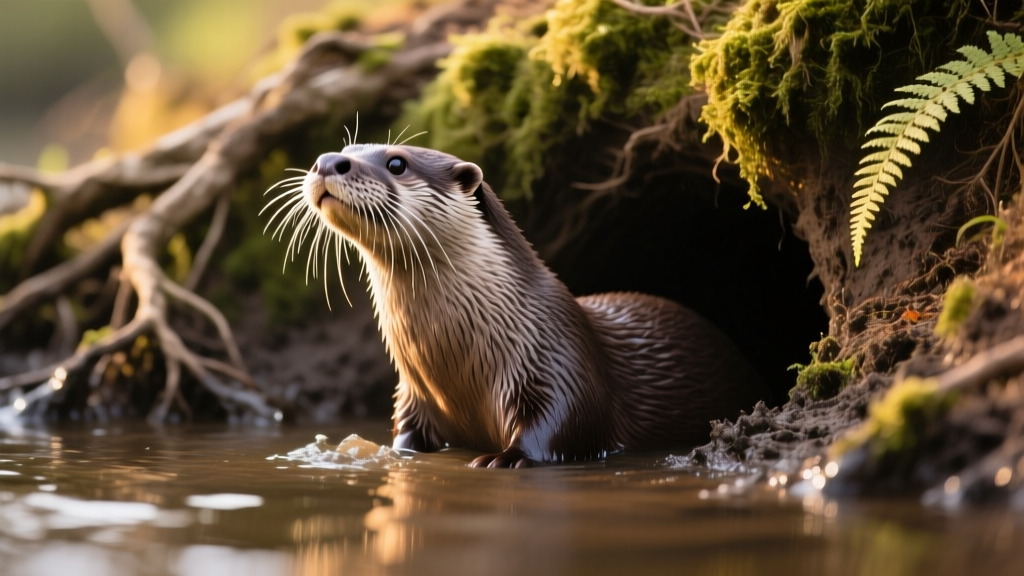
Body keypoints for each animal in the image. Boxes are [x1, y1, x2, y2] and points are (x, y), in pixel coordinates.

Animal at [272, 144, 769, 467]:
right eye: (346, 148)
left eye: (397, 163)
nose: (326, 162)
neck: (455, 362)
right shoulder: (413, 393)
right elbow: (406, 433)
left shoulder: (561, 367)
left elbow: (562, 426)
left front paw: (506, 458)